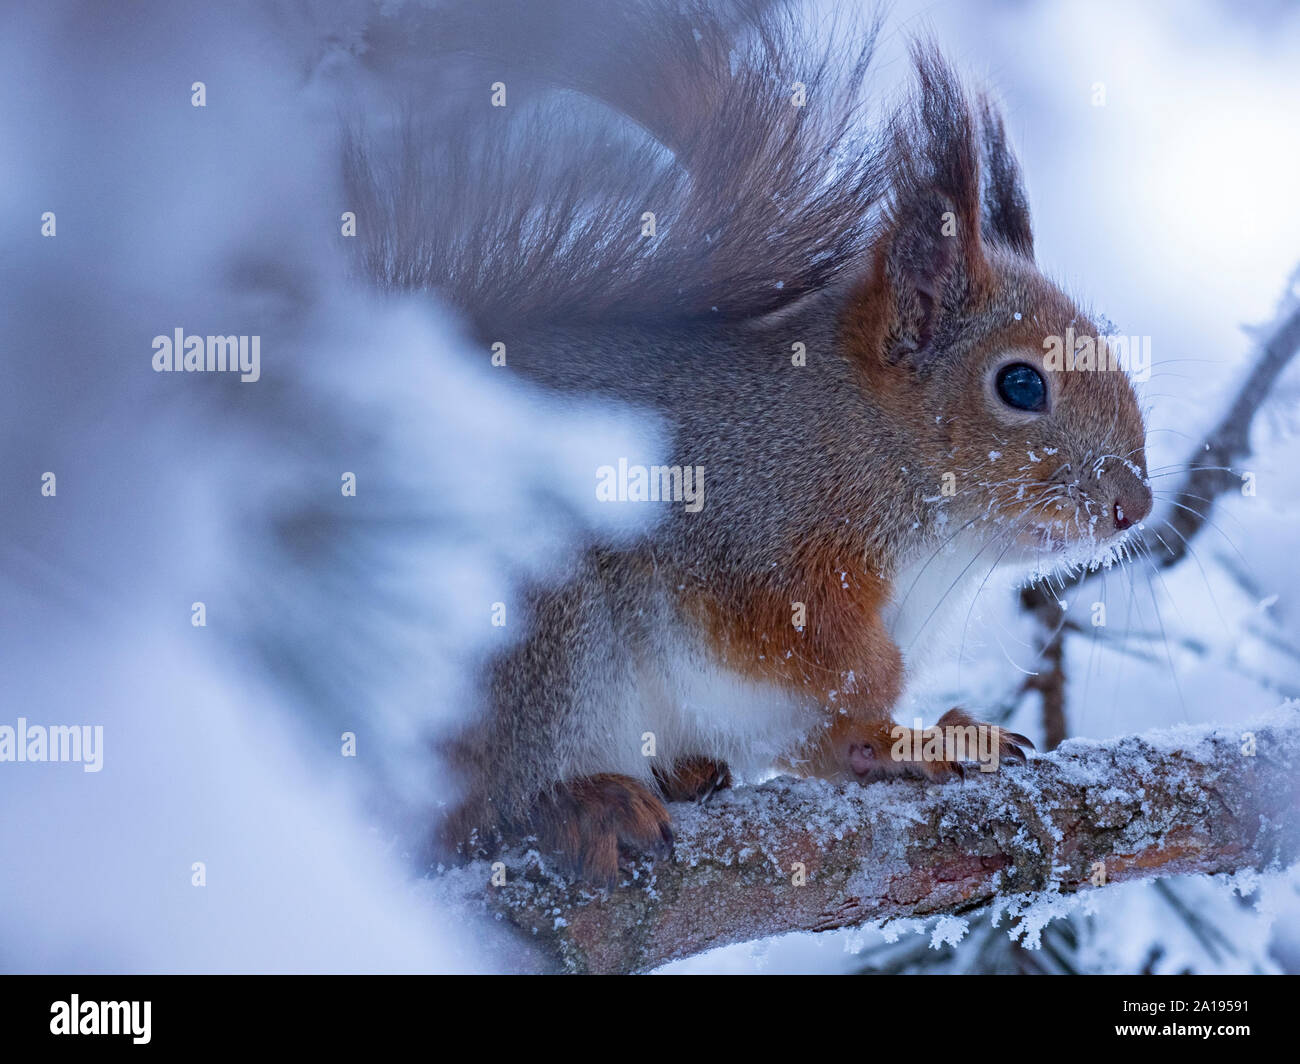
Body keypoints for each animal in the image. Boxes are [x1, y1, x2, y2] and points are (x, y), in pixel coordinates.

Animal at [348, 0, 1154, 885]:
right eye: (1021, 386)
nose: (1136, 504)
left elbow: (832, 742)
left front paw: (933, 734)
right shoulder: (746, 530)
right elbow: (801, 649)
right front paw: (895, 699)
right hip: (530, 633)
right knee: (480, 803)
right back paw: (578, 802)